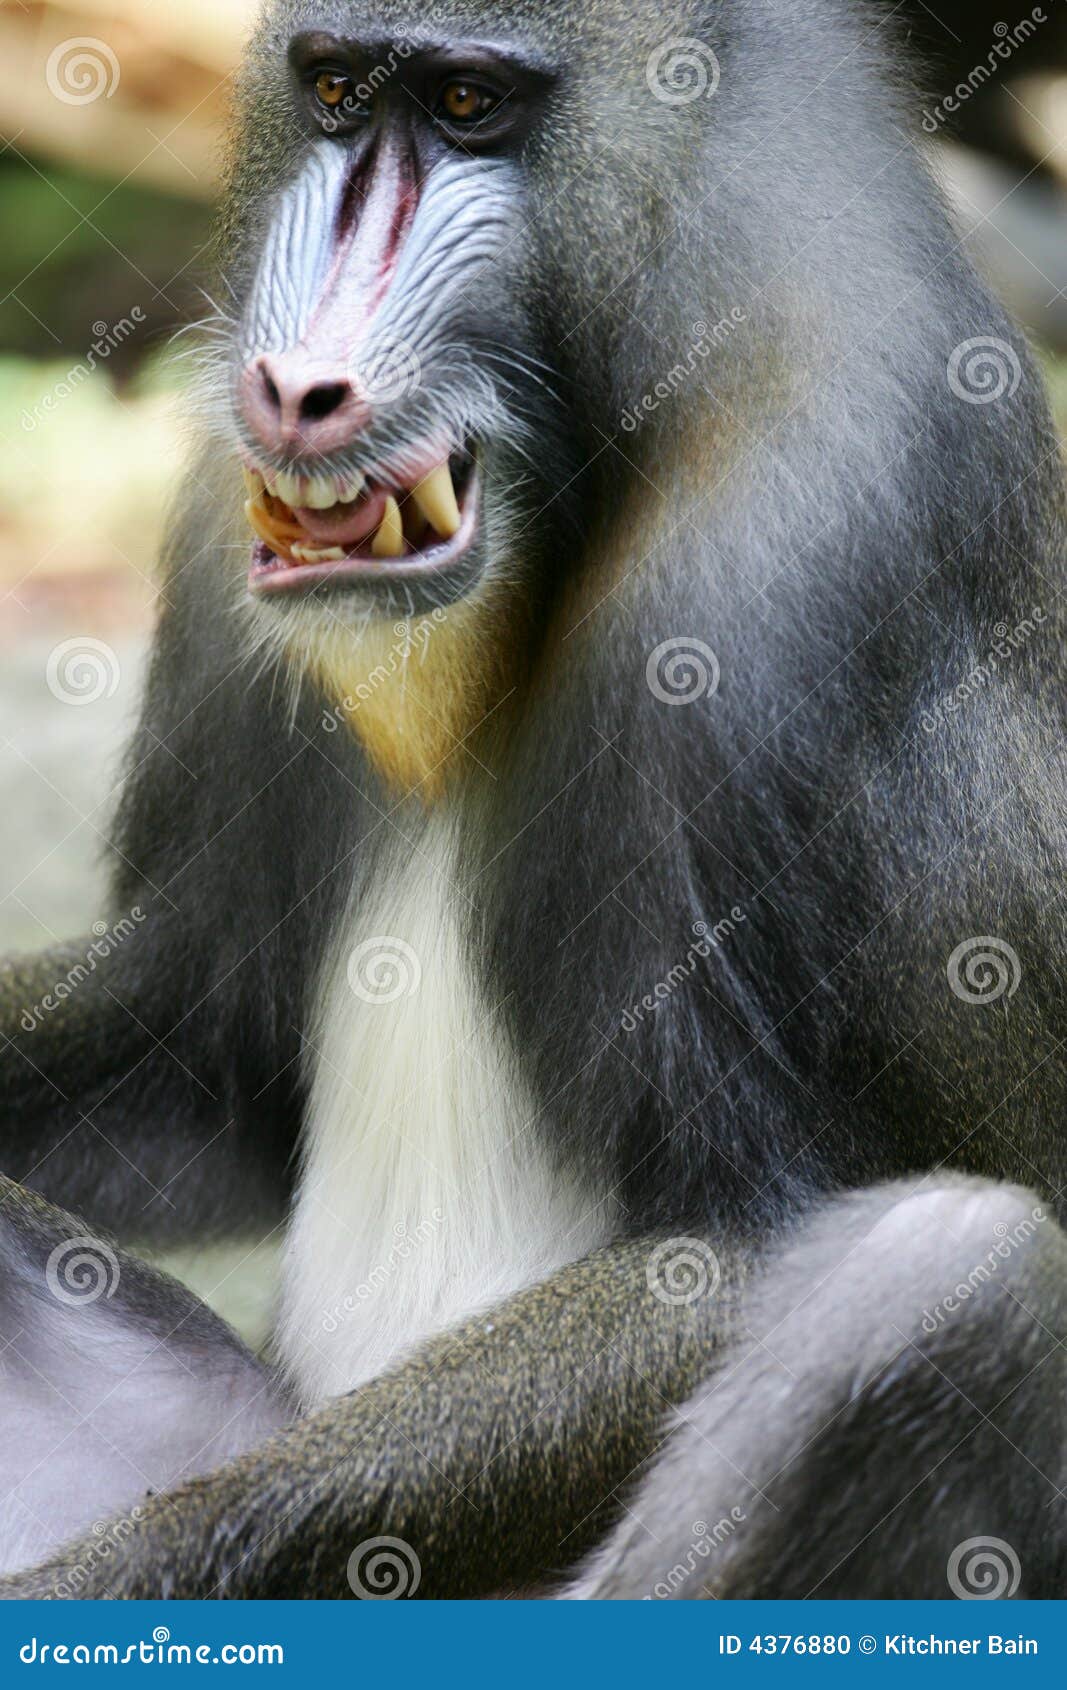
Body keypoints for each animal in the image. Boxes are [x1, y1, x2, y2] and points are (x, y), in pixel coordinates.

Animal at [2, 0, 1067, 1599]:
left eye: (464, 105)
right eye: (335, 90)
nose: (296, 387)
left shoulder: (779, 562)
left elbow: (729, 1245)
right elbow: (209, 1060)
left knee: (958, 1265)